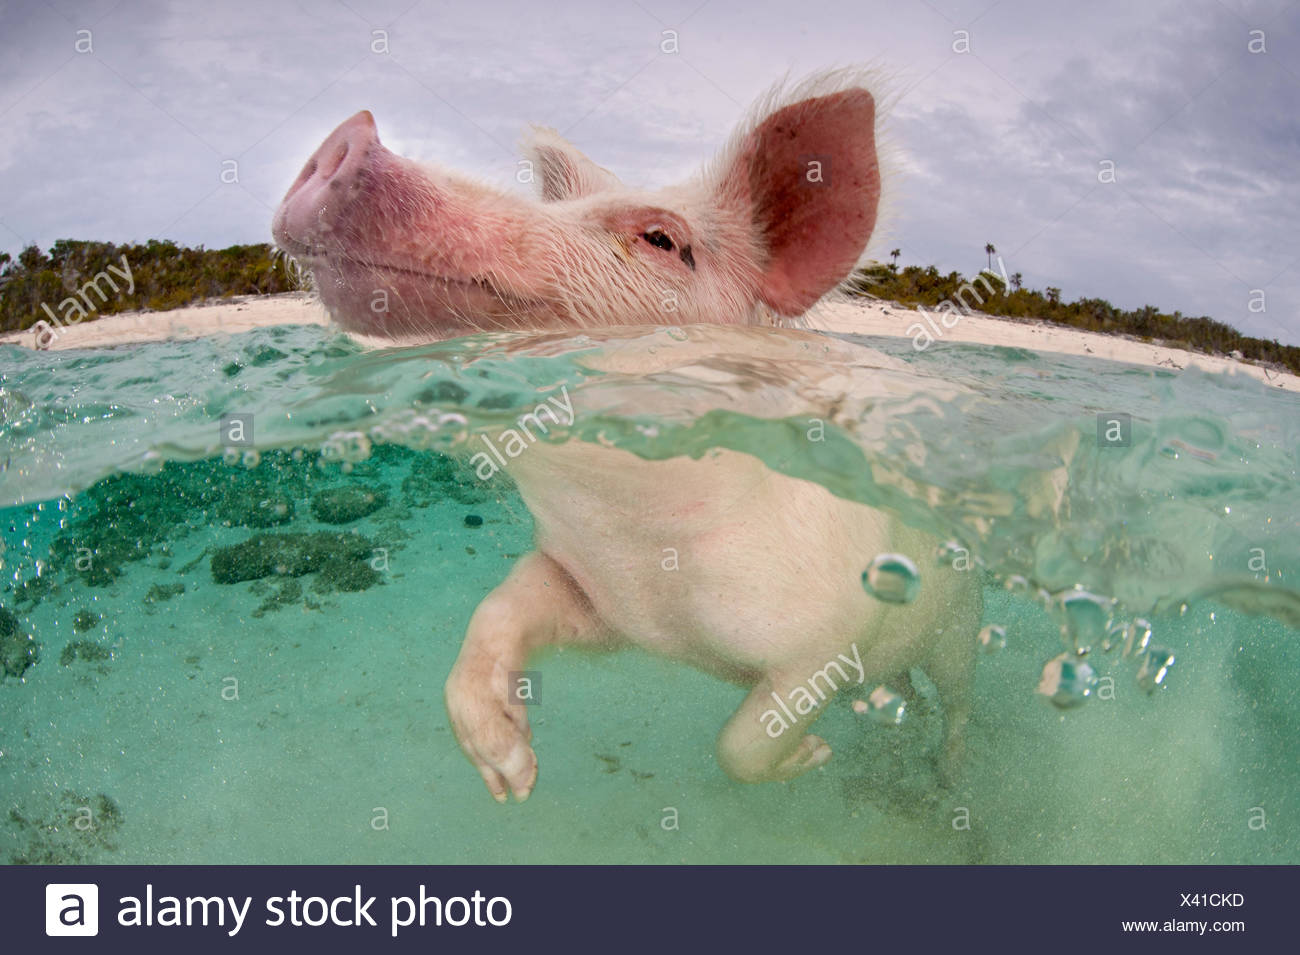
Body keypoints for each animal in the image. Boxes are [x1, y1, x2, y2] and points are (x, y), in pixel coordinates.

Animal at [273, 70, 983, 803]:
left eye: (660, 239)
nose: (352, 133)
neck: (647, 549)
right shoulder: (593, 592)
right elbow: (496, 612)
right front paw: (510, 776)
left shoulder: (829, 636)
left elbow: (742, 743)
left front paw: (815, 755)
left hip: (961, 622)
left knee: (958, 702)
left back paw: (949, 778)